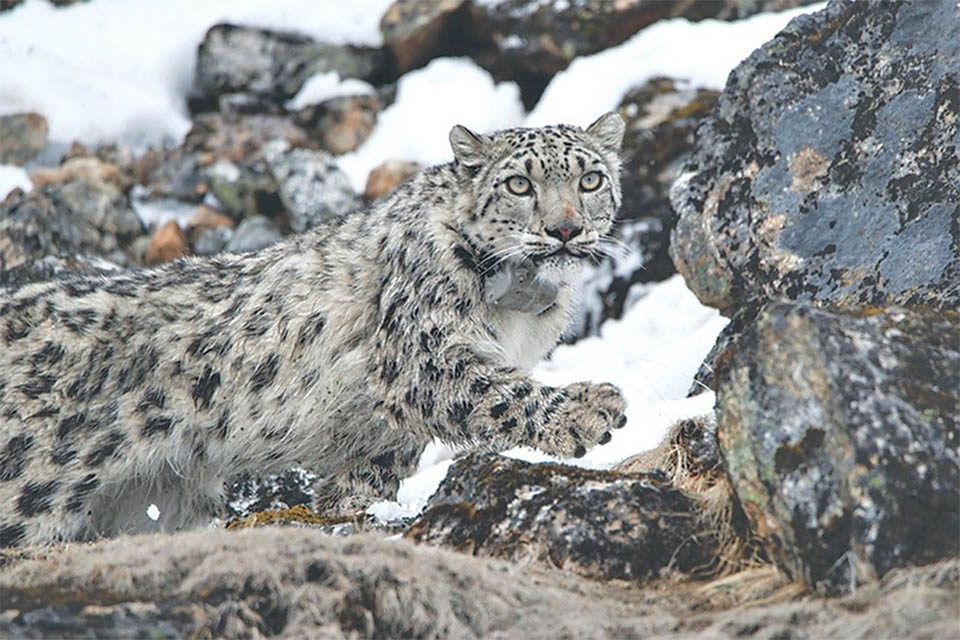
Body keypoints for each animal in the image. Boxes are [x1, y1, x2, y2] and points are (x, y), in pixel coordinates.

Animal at [0, 112, 628, 547]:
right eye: (520, 185)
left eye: (591, 180)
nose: (566, 229)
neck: (521, 310)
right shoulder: (422, 354)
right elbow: (495, 392)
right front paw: (588, 410)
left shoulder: (389, 432)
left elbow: (370, 475)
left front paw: (346, 507)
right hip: (31, 488)